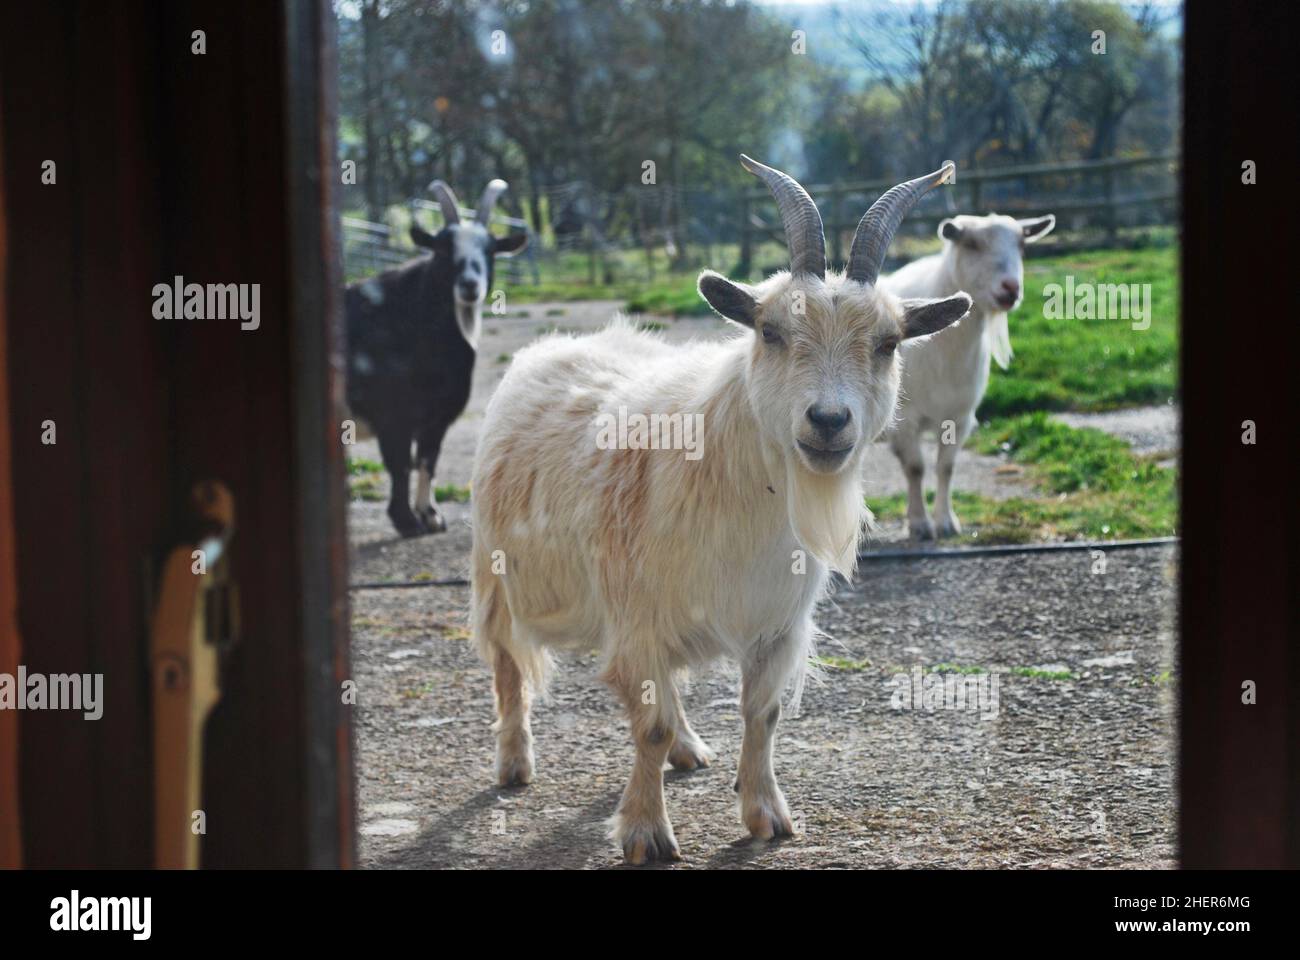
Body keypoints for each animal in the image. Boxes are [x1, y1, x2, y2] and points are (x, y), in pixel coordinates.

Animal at [345, 180, 527, 537]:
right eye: (444, 250)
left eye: (490, 250)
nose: (470, 285)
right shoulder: (393, 414)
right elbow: (400, 464)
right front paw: (406, 522)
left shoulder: (438, 415)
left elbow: (428, 459)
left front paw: (431, 517)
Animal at [469, 156, 970, 863]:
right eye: (770, 331)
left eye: (889, 342)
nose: (828, 421)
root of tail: (557, 347)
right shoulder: (637, 612)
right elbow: (645, 727)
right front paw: (646, 833)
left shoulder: (776, 624)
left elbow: (761, 714)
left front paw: (766, 815)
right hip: (498, 573)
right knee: (508, 664)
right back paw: (514, 763)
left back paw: (687, 748)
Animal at [880, 212, 1055, 539]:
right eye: (972, 244)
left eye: (1022, 245)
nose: (1011, 288)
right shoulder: (906, 420)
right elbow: (915, 468)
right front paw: (920, 524)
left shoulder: (959, 417)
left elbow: (946, 467)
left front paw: (946, 522)